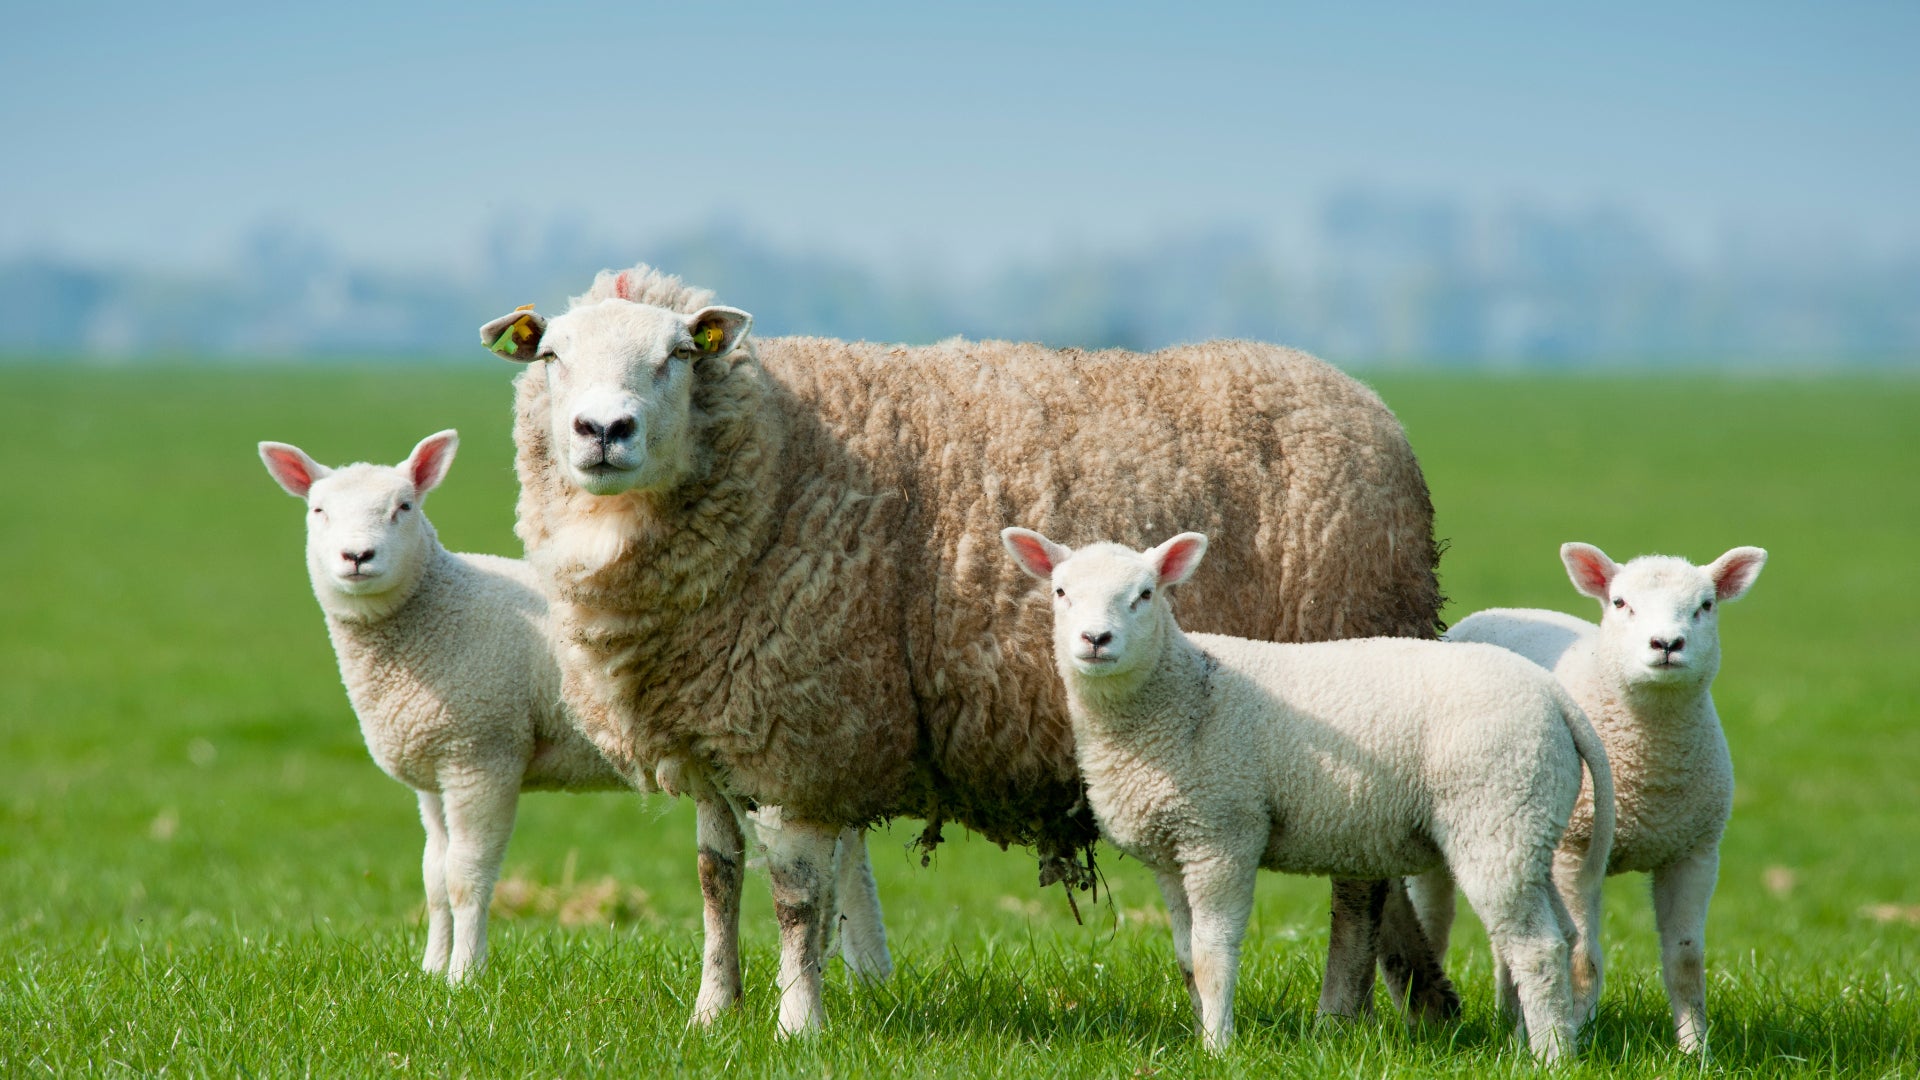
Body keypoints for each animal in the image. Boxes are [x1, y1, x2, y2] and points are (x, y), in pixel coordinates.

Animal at [258, 429, 895, 988]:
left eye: (404, 507)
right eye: (318, 510)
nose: (356, 556)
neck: (432, 612)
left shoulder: (482, 753)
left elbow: (467, 877)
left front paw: (464, 978)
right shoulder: (435, 769)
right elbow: (434, 876)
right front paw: (431, 969)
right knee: (851, 854)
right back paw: (866, 972)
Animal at [478, 263, 1452, 1033]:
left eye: (679, 356)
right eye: (552, 356)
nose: (604, 433)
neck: (780, 458)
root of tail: (1367, 405)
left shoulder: (803, 732)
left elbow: (796, 898)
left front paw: (797, 1026)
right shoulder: (713, 731)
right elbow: (717, 879)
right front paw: (714, 1013)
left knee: (1359, 885)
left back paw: (1337, 1015)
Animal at [1001, 527, 1615, 1061]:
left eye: (1145, 595)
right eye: (1060, 592)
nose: (1095, 640)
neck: (1177, 692)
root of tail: (1555, 697)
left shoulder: (1222, 831)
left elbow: (1212, 953)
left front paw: (1217, 1047)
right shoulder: (1171, 849)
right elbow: (1185, 955)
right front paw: (1200, 1031)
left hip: (1497, 814)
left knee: (1535, 947)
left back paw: (1551, 1056)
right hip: (1529, 824)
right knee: (1563, 936)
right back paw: (1540, 1040)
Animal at [1413, 542, 1768, 1054]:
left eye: (1706, 605)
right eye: (1620, 603)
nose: (1666, 644)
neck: (1650, 770)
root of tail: (1497, 611)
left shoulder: (1694, 850)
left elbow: (1685, 962)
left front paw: (1695, 1051)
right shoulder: (1575, 852)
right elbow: (1582, 958)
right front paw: (1576, 1035)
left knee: (1505, 942)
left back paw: (1510, 1019)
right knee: (1435, 918)